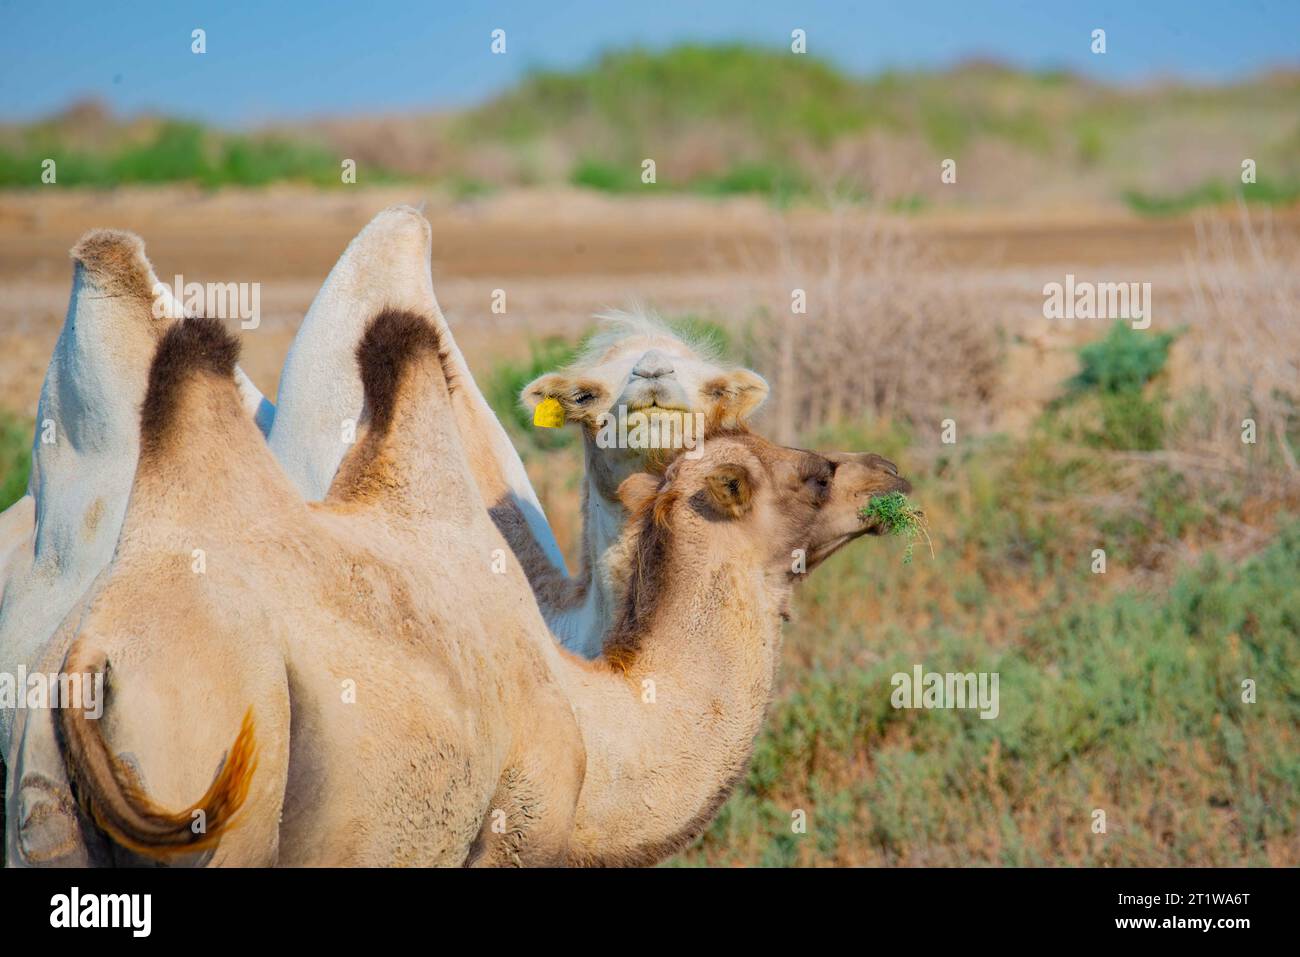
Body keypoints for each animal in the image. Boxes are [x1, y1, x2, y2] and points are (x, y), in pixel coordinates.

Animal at [16, 306, 909, 866]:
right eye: (815, 473)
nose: (889, 472)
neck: (596, 713)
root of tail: (91, 657)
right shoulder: (521, 824)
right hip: (217, 785)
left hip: (45, 809)